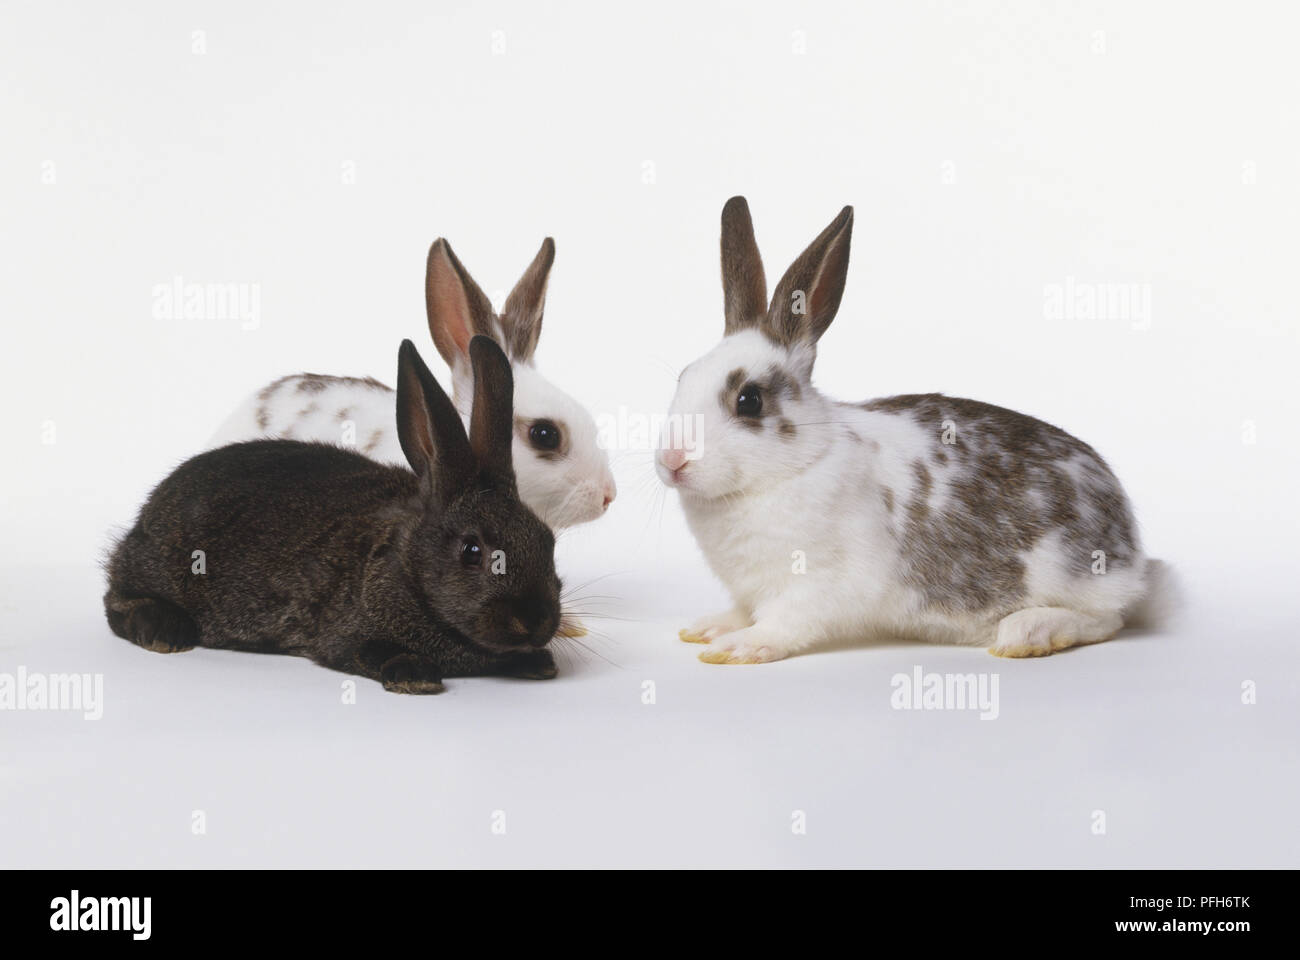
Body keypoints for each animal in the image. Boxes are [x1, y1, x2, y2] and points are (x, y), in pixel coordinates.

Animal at [105, 336, 562, 693]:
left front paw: (540, 664)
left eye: (548, 540)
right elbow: (367, 651)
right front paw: (415, 675)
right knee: (116, 599)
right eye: (472, 551)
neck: (406, 563)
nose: (536, 621)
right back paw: (165, 631)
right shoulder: (342, 634)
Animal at [657, 197, 1174, 663]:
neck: (798, 463)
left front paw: (738, 647)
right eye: (682, 378)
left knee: (1107, 619)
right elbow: (742, 610)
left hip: (1073, 575)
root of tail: (1131, 549)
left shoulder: (818, 585)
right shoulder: (750, 590)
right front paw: (709, 628)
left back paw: (1028, 633)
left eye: (749, 400)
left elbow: (784, 623)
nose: (672, 460)